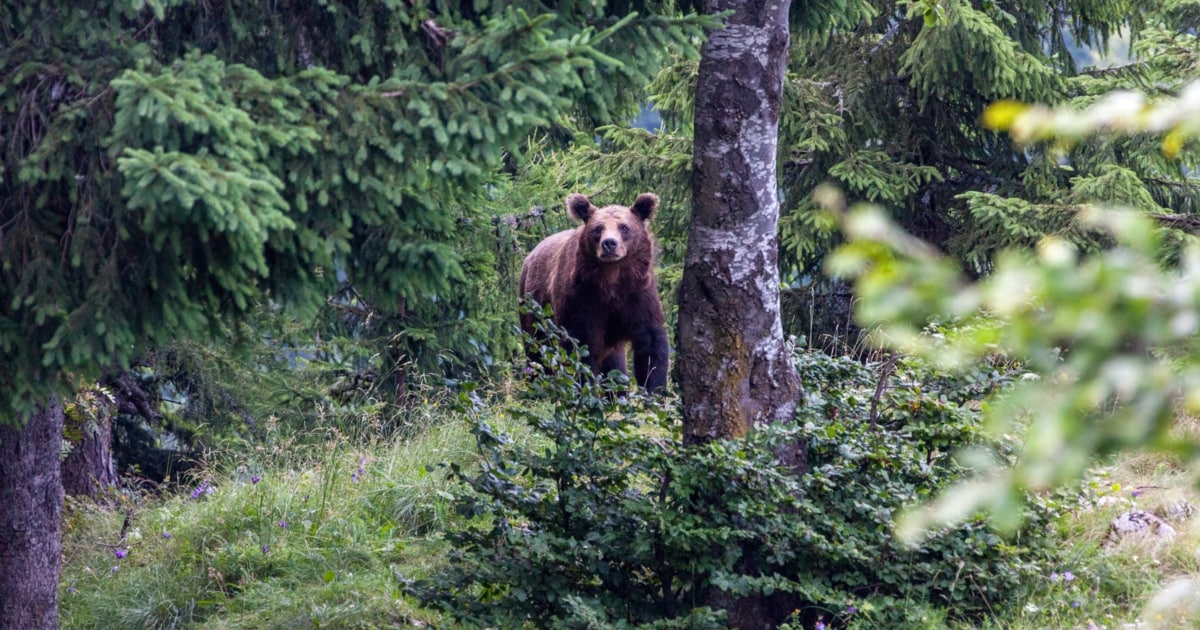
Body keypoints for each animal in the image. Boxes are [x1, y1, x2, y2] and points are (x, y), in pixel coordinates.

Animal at [519, 192, 670, 393]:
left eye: (624, 227)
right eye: (598, 228)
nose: (609, 244)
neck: (612, 279)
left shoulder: (638, 294)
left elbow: (651, 344)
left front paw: (653, 390)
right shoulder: (582, 298)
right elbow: (579, 345)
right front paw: (583, 388)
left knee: (615, 367)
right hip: (534, 305)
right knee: (537, 350)